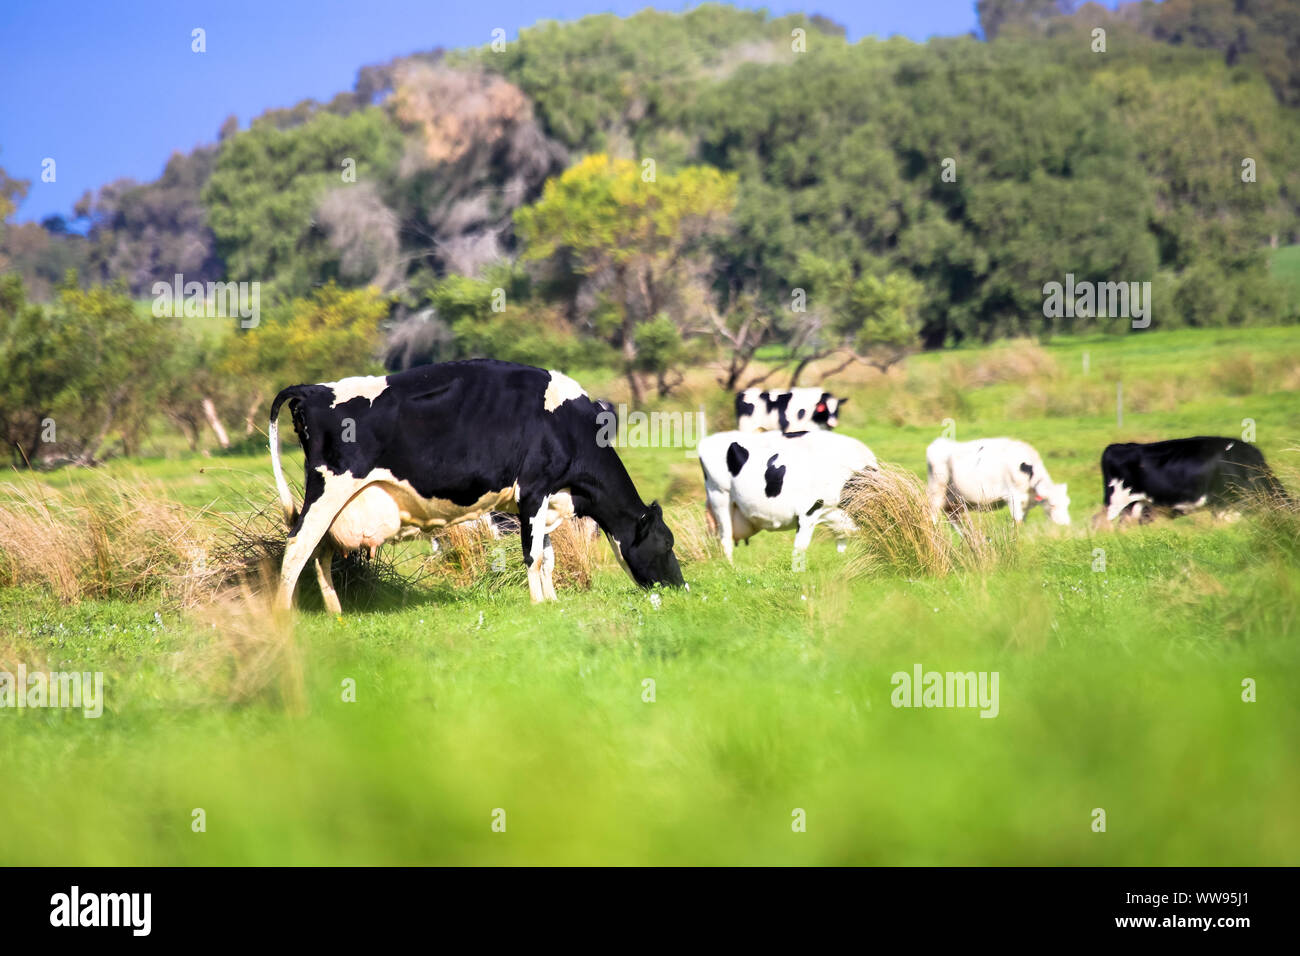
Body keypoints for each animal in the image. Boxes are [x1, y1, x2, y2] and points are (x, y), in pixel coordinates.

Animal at [268, 359, 685, 611]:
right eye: (666, 543)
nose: (683, 588)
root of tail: (314, 389)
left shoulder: (545, 500)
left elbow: (548, 555)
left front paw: (551, 602)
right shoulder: (533, 489)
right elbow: (533, 557)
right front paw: (538, 605)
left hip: (339, 506)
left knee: (320, 552)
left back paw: (336, 613)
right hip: (328, 490)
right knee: (297, 546)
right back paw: (284, 615)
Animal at [698, 429, 877, 565]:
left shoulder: (838, 516)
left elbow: (841, 543)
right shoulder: (809, 511)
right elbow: (800, 547)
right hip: (720, 497)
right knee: (725, 539)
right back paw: (733, 569)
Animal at [926, 437, 1071, 526]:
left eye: (1067, 504)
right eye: (1052, 505)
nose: (1064, 525)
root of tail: (940, 442)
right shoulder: (1012, 497)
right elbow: (1017, 523)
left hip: (954, 500)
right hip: (936, 491)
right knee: (932, 516)